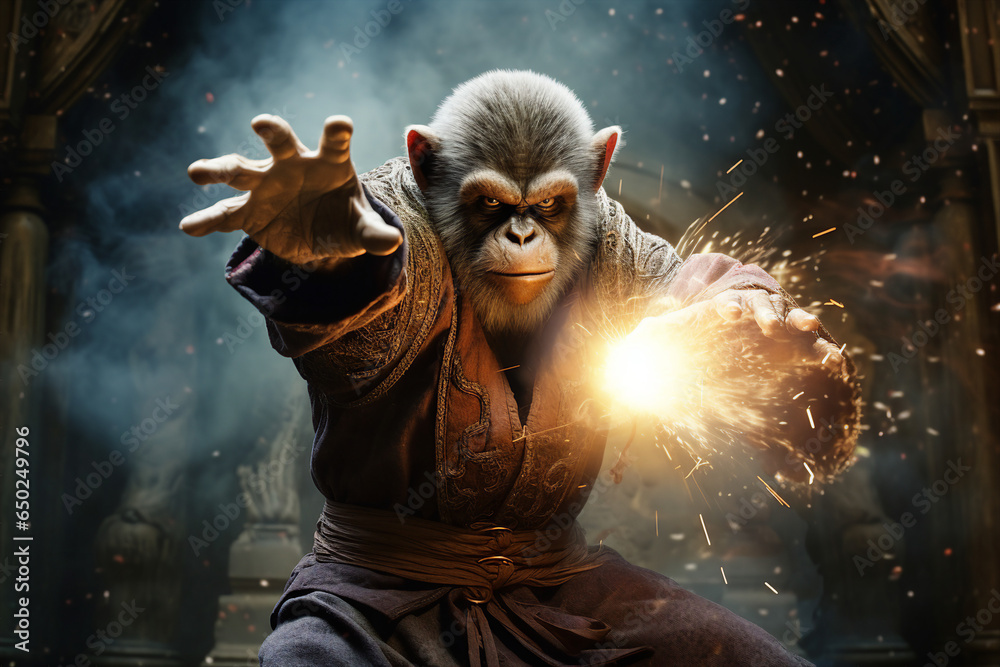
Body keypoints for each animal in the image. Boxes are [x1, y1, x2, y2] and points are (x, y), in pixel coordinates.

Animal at [180, 70, 848, 667]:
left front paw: (762, 334)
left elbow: (689, 281)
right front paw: (310, 217)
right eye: (490, 204)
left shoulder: (623, 240)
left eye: (549, 204)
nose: (522, 234)